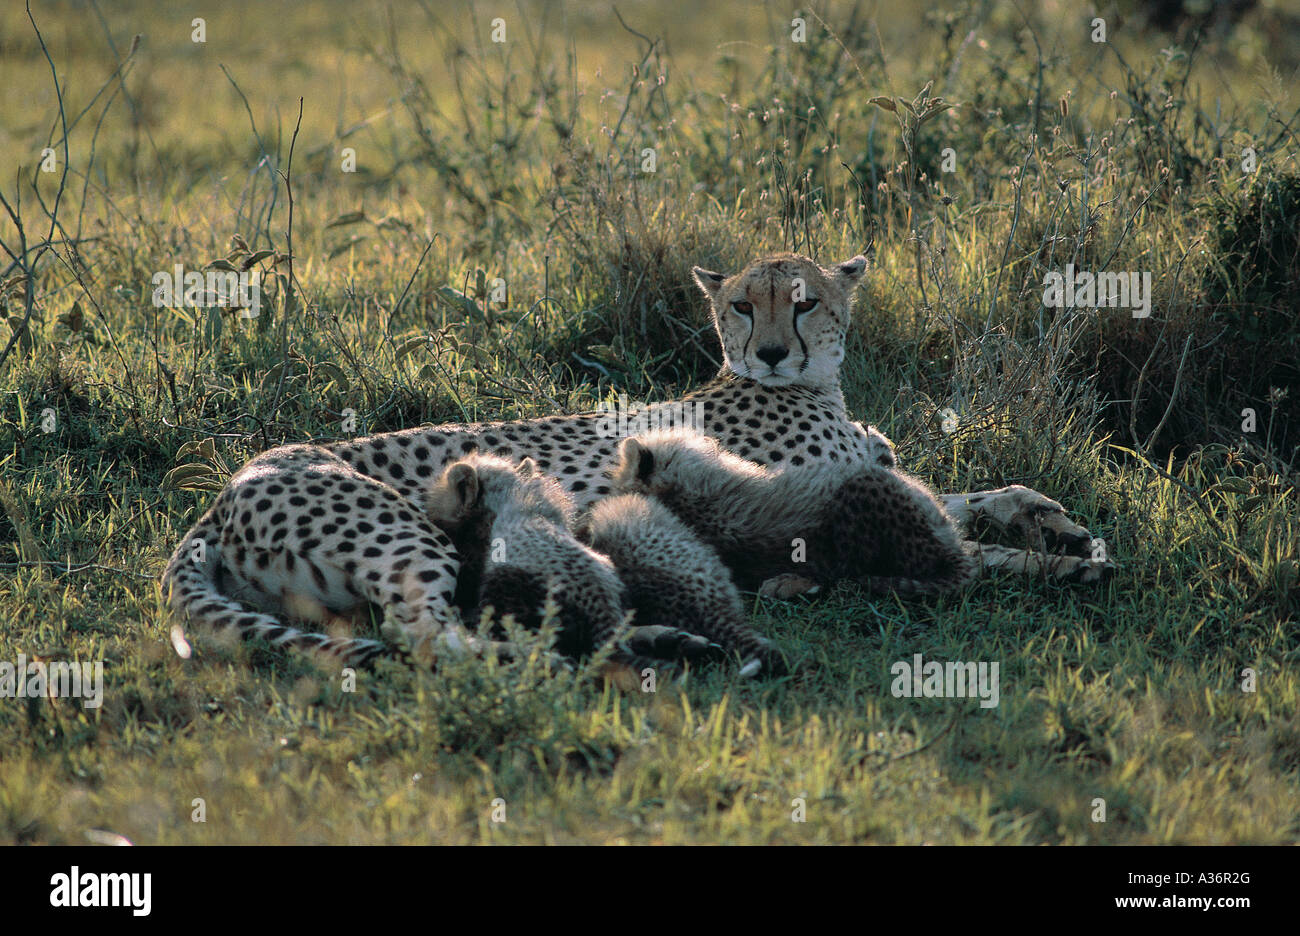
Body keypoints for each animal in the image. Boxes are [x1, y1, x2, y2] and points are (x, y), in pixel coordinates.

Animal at [161, 251, 1110, 667]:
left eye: (803, 302)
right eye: (741, 306)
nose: (771, 352)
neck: (814, 386)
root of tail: (224, 491)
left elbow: (963, 496)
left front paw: (1049, 517)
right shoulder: (806, 498)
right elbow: (960, 546)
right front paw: (1057, 562)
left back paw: (659, 634)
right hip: (404, 534)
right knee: (434, 638)